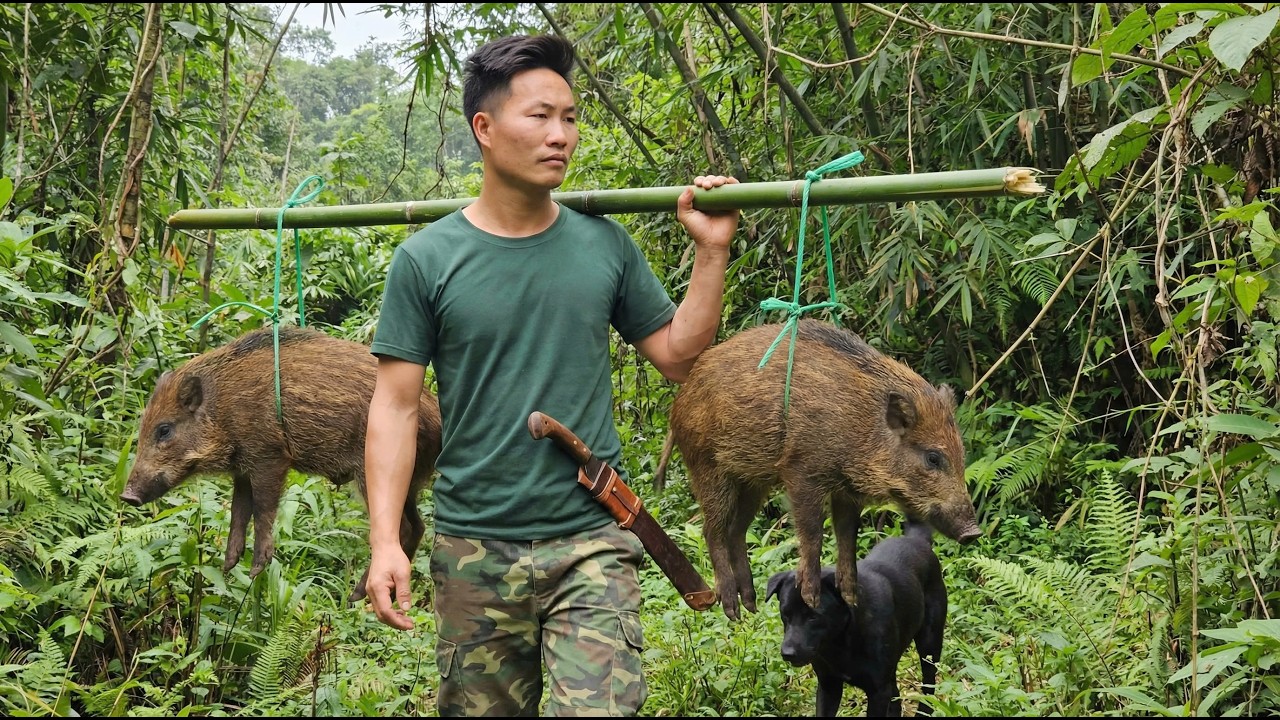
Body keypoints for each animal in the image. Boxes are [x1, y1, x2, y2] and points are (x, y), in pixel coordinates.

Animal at [121, 324, 442, 604]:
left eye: (164, 430)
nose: (127, 496)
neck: (223, 409)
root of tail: (437, 422)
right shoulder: (243, 469)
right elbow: (239, 511)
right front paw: (228, 565)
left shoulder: (270, 455)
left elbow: (263, 508)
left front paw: (255, 569)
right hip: (409, 480)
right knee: (418, 526)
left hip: (372, 474)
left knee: (400, 528)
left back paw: (356, 596)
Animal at [669, 319, 981, 620]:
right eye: (933, 458)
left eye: (961, 454)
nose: (974, 532)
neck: (861, 427)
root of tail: (680, 398)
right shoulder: (802, 471)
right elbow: (813, 533)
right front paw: (811, 600)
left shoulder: (847, 489)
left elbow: (847, 535)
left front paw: (851, 598)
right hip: (707, 466)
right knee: (713, 530)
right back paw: (731, 609)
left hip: (753, 481)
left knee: (736, 530)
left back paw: (751, 605)